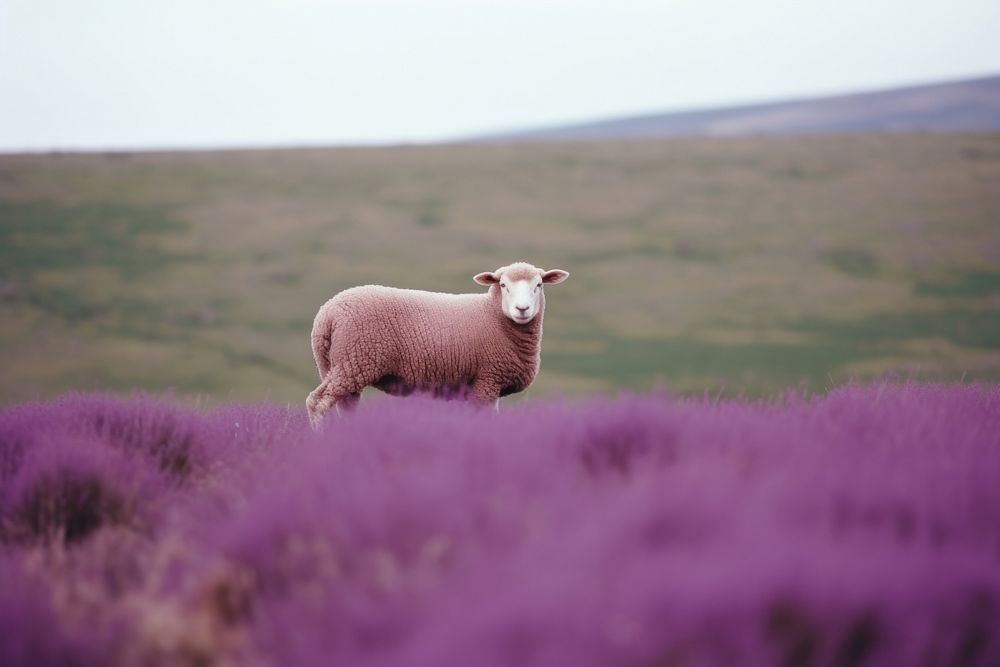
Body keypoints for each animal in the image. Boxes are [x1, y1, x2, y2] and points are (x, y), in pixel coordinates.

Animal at [306, 262, 569, 428]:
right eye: (503, 285)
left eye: (539, 285)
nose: (522, 309)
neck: (494, 315)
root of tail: (328, 313)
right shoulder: (487, 380)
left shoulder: (472, 386)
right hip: (355, 360)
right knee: (317, 403)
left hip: (337, 363)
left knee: (345, 405)